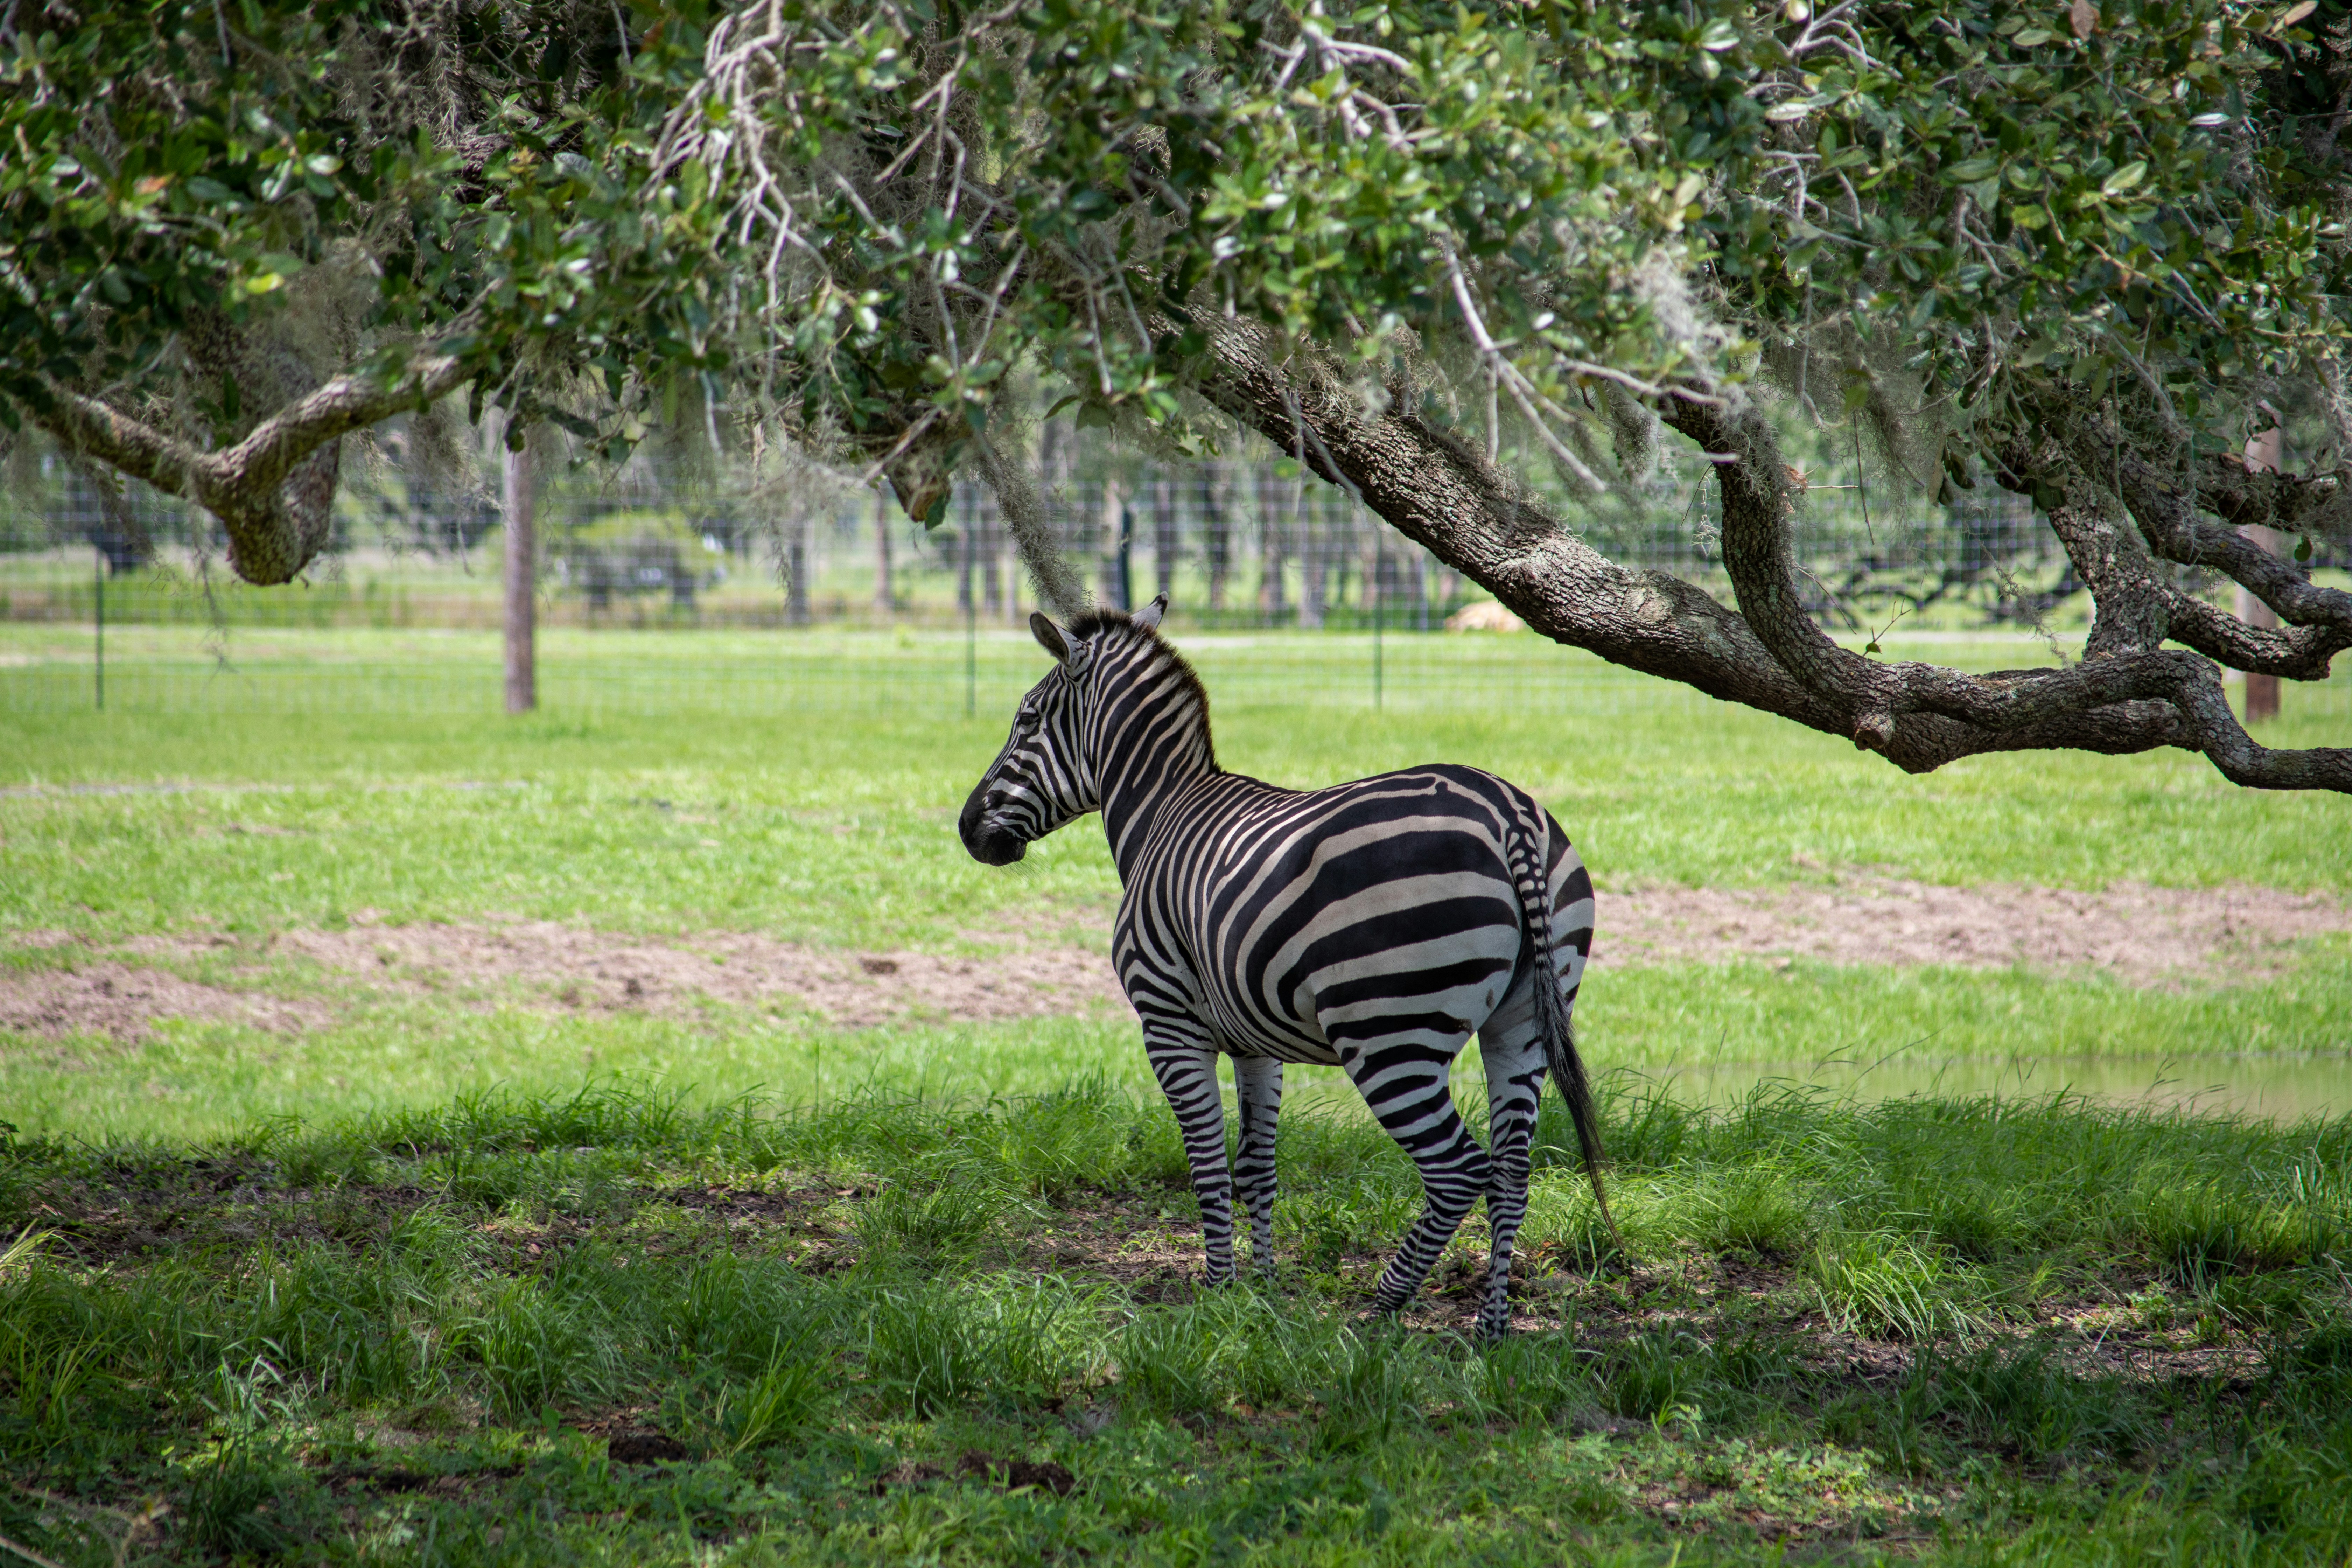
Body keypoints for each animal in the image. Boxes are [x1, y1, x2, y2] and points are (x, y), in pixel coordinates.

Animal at [958, 594, 1621, 1337]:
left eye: (1026, 720)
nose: (967, 829)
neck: (1161, 814)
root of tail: (1510, 817)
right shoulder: (1256, 1040)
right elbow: (1257, 1167)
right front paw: (1263, 1294)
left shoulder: (1168, 1024)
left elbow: (1208, 1165)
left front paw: (1218, 1294)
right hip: (1525, 1019)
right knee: (1511, 1172)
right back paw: (1492, 1328)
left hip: (1390, 1034)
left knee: (1458, 1172)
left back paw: (1379, 1312)